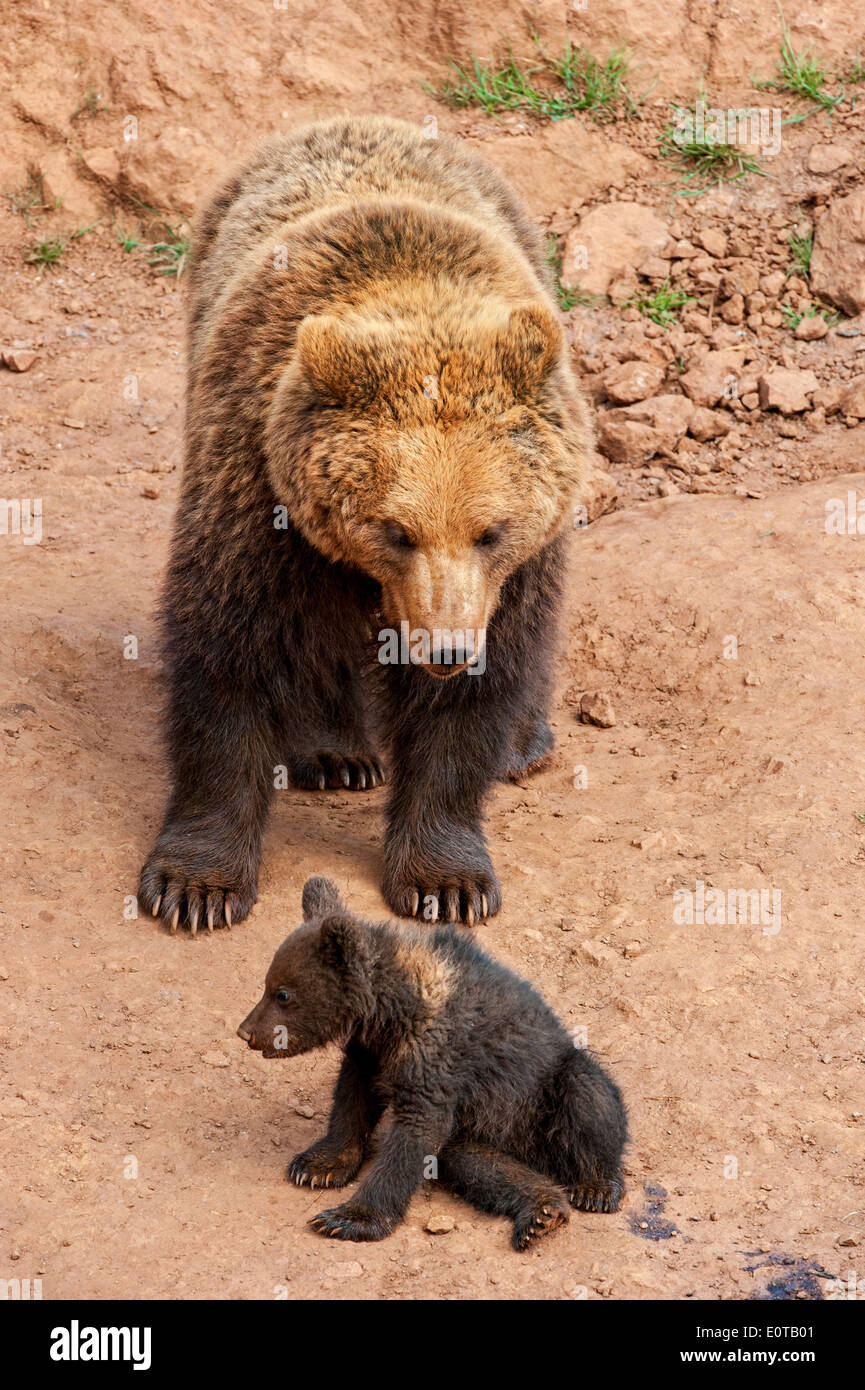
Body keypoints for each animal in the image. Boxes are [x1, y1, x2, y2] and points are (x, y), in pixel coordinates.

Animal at [138, 115, 592, 933]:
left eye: (491, 529)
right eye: (395, 529)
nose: (445, 650)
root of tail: (357, 120)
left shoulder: (515, 570)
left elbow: (476, 697)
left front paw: (448, 880)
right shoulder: (259, 495)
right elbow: (229, 654)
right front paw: (195, 886)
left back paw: (524, 741)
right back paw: (336, 752)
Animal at [237, 877, 628, 1250]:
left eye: (283, 993)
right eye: (267, 985)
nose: (246, 1032)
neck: (392, 1010)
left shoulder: (436, 1054)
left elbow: (415, 1133)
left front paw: (349, 1217)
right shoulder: (372, 1051)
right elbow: (353, 1099)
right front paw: (317, 1165)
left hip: (543, 1090)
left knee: (588, 1098)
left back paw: (595, 1187)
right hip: (482, 1131)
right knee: (479, 1165)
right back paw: (541, 1213)